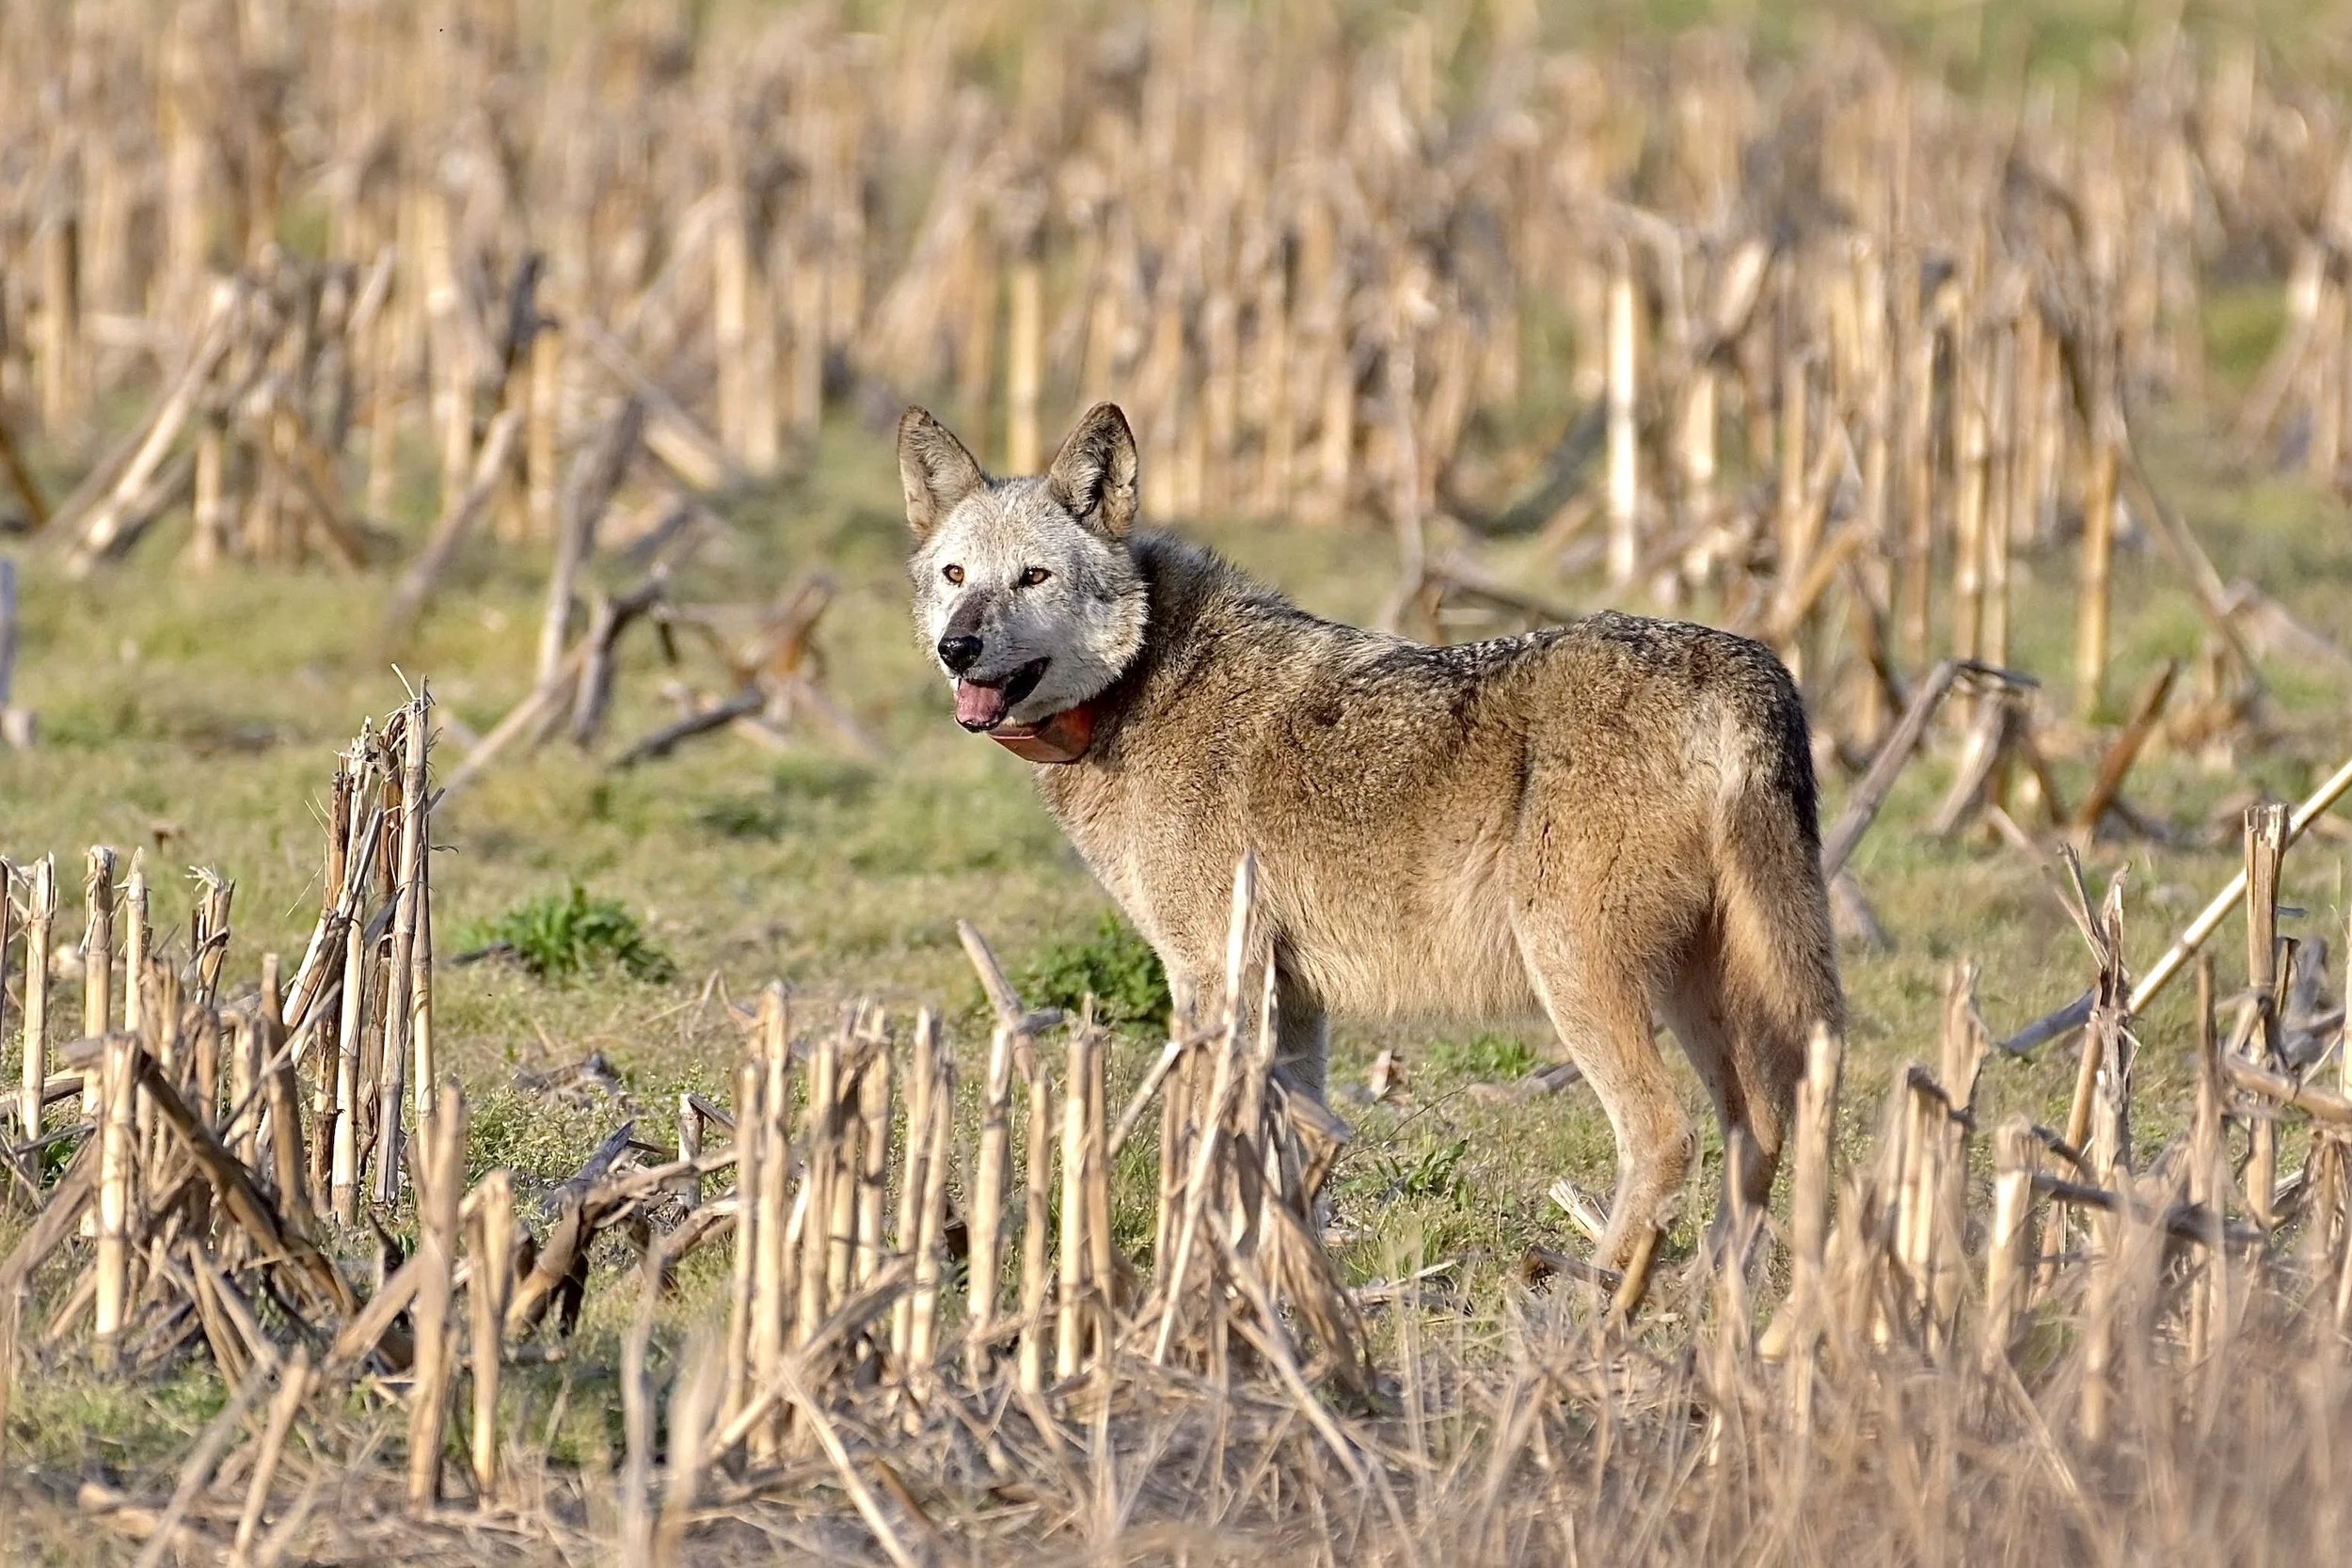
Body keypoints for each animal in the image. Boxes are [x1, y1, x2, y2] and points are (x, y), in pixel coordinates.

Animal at [901, 401, 1844, 1273]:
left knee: (1666, 1135)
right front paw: (1281, 1281)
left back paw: (1595, 1298)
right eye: (956, 573)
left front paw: (1191, 1273)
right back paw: (1712, 1292)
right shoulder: (1291, 998)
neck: (1139, 686)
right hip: (1695, 985)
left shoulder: (1215, 973)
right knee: (1761, 1123)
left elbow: (1202, 1141)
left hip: (1581, 975)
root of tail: (1746, 666)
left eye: (1033, 576)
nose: (958, 647)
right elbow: (1288, 1155)